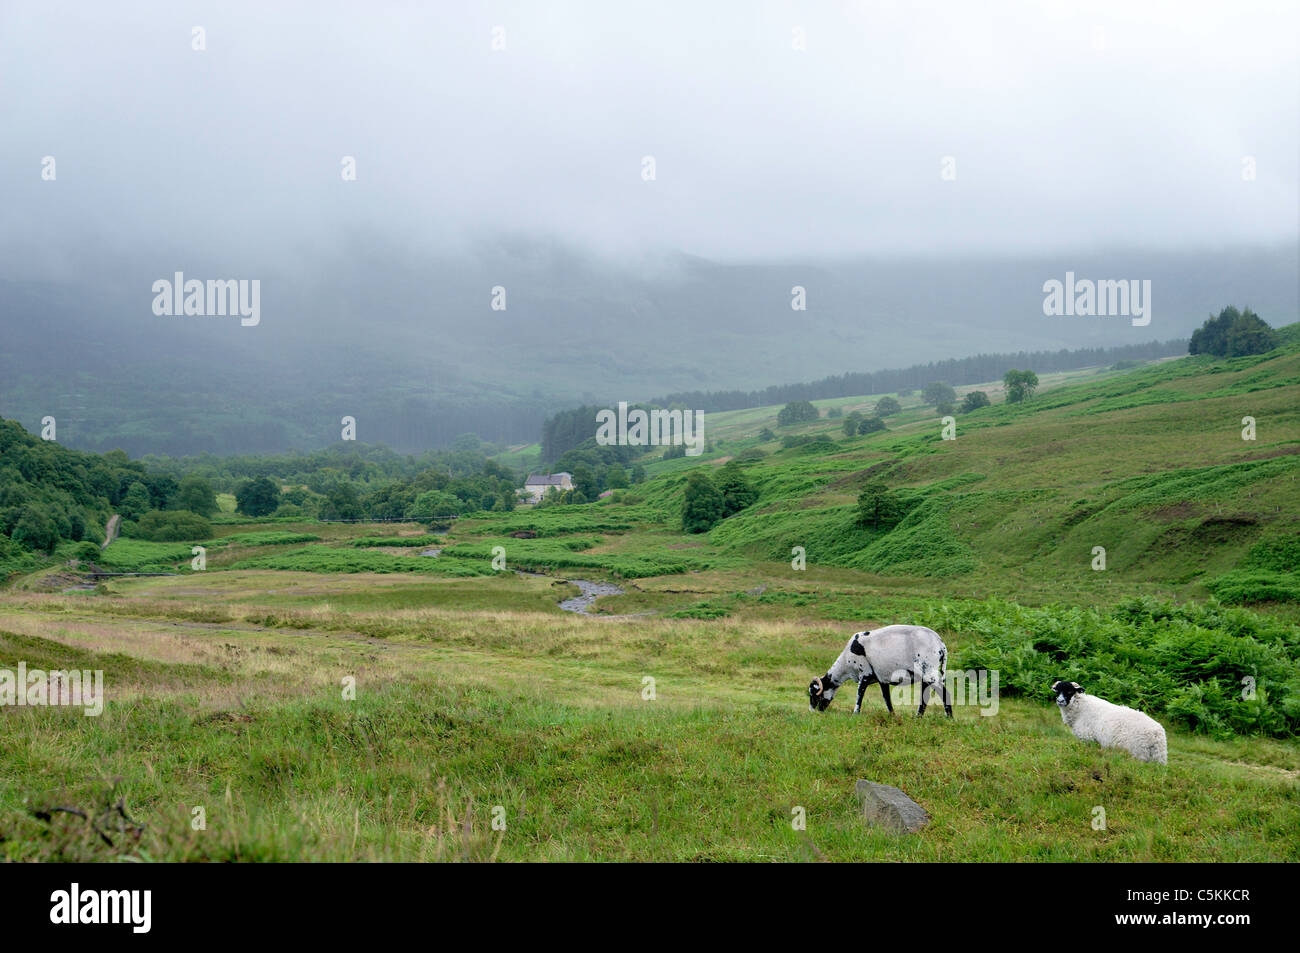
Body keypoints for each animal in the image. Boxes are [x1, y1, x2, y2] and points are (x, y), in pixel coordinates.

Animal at [808, 625, 952, 718]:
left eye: (815, 694)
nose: (813, 712)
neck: (845, 662)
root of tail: (941, 644)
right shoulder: (882, 679)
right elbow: (887, 699)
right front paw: (892, 716)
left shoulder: (865, 674)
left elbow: (859, 695)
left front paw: (855, 714)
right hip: (926, 676)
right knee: (924, 697)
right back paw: (918, 717)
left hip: (930, 672)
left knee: (945, 693)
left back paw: (949, 718)